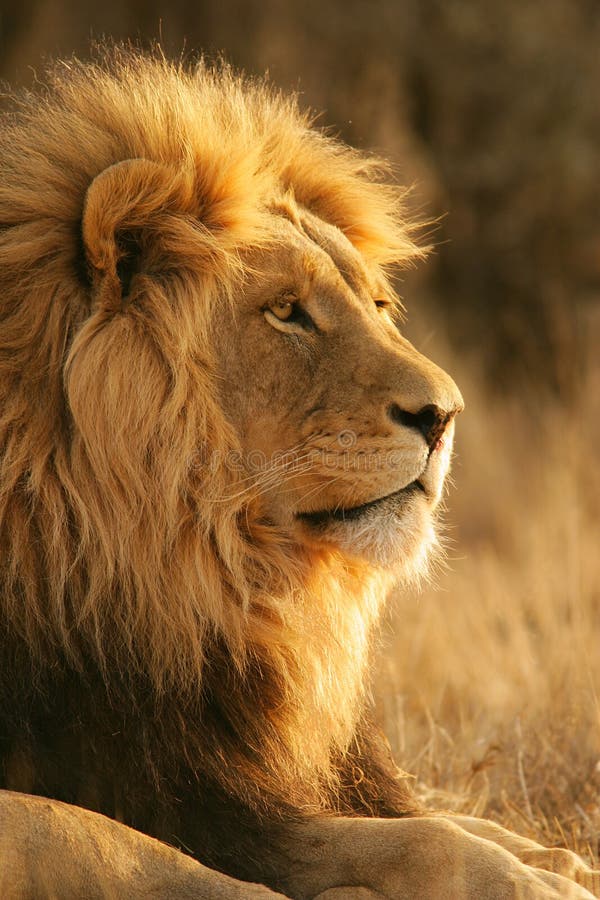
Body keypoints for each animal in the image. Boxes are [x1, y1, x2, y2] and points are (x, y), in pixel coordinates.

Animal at [0, 47, 596, 900]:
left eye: (378, 305)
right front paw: (533, 880)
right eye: (286, 311)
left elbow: (432, 817)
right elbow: (113, 841)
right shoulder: (171, 787)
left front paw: (549, 857)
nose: (446, 415)